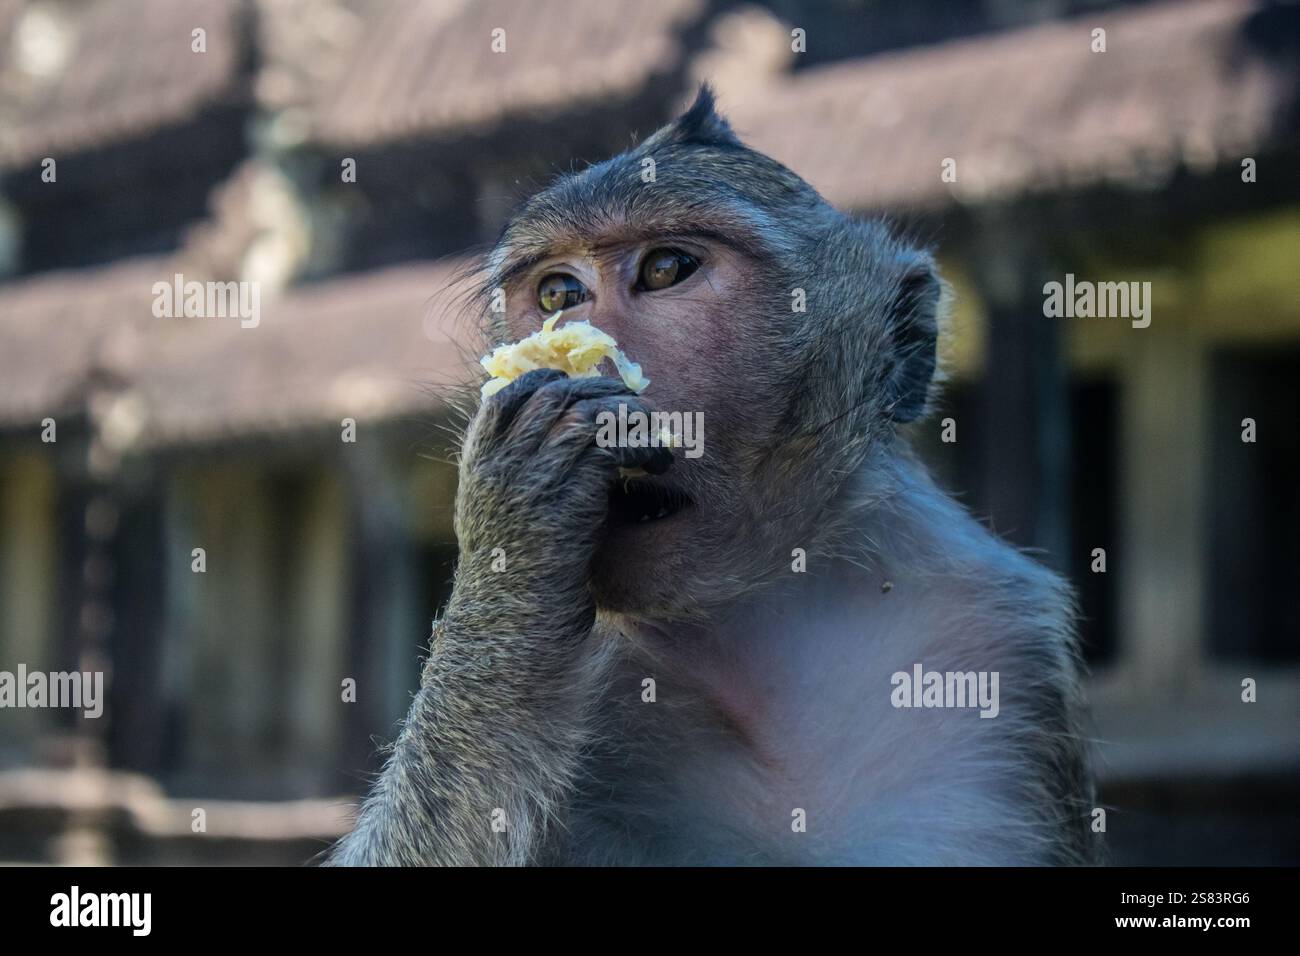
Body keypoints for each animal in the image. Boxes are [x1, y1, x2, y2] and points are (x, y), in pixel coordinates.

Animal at [328, 87, 1097, 866]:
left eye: (667, 268)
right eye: (557, 293)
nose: (596, 346)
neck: (750, 621)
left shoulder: (1001, 645)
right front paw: (512, 537)